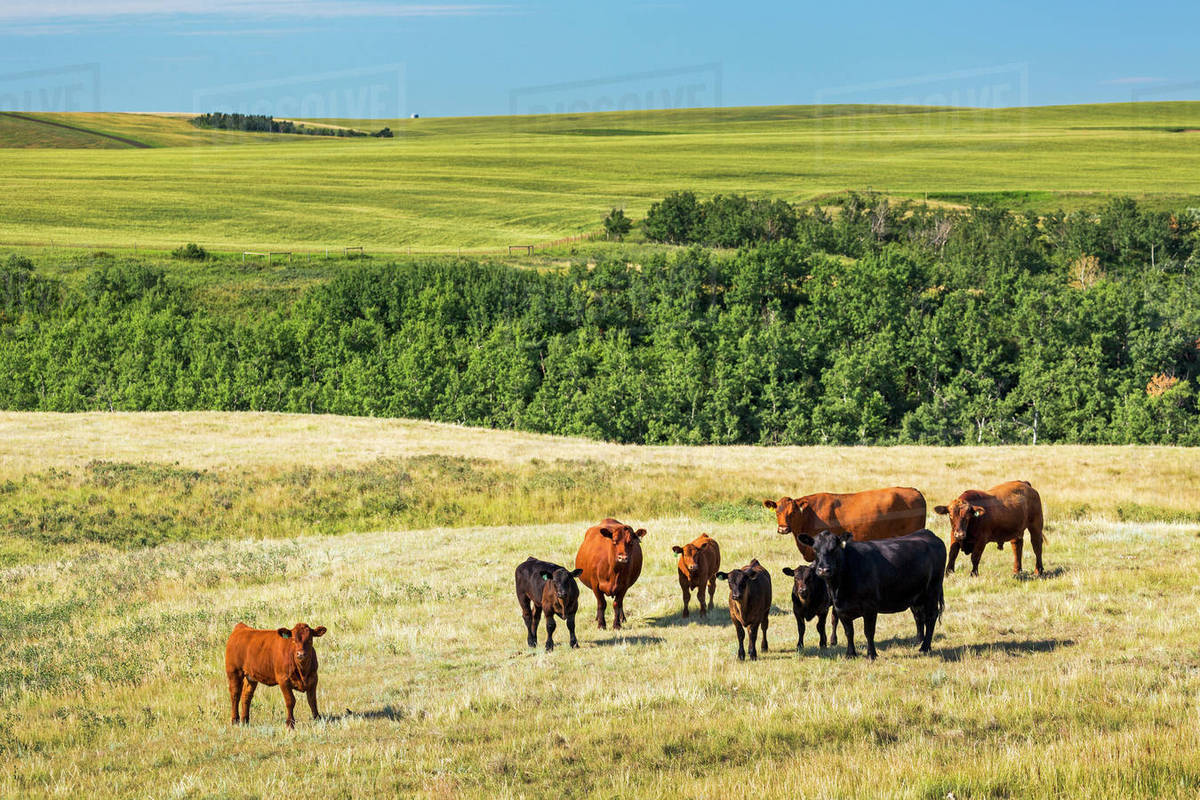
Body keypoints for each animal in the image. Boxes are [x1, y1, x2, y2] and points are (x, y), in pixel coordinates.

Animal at [798, 529, 945, 660]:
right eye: (815, 549)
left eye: (834, 548)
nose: (823, 569)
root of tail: (928, 533)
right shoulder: (841, 609)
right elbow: (849, 632)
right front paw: (850, 654)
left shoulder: (870, 607)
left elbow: (868, 632)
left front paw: (871, 654)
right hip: (917, 596)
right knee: (919, 616)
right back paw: (921, 642)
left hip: (933, 590)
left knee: (931, 616)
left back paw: (925, 647)